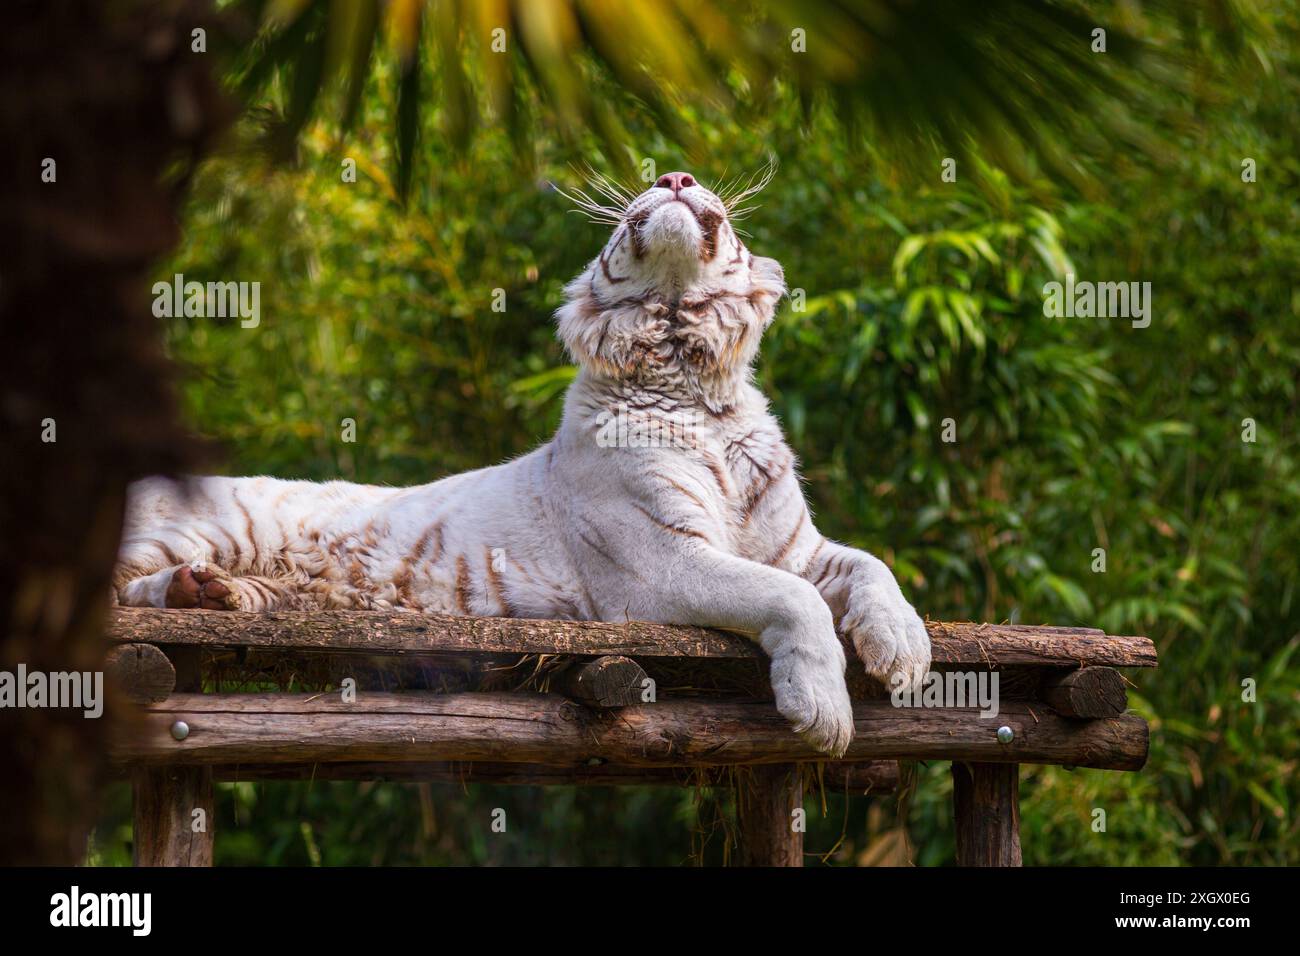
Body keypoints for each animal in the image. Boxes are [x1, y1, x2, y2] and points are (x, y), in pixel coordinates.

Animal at [113, 168, 931, 756]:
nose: (674, 175)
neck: (692, 380)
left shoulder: (796, 545)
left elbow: (871, 565)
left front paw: (905, 650)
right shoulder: (658, 564)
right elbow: (789, 599)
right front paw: (823, 712)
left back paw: (222, 597)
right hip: (198, 530)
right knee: (114, 596)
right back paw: (190, 589)